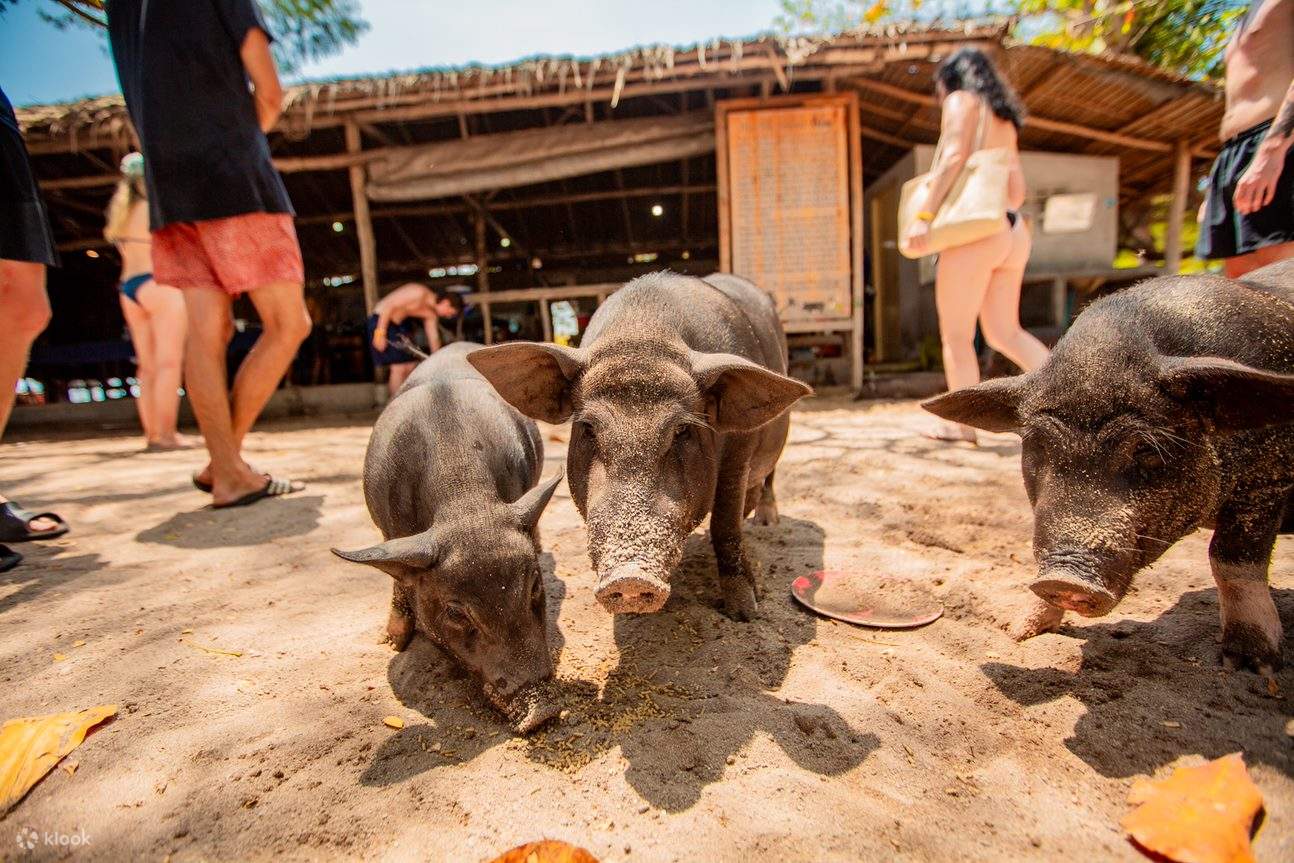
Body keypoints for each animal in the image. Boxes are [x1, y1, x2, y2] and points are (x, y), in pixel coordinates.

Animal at [332, 342, 564, 732]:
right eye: (456, 612)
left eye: (535, 585)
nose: (542, 713)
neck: (464, 501)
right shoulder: (390, 533)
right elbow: (399, 581)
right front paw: (393, 644)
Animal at [467, 272, 812, 619]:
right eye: (588, 428)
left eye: (682, 430)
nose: (630, 576)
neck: (644, 332)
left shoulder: (740, 448)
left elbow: (725, 523)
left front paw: (745, 612)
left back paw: (765, 522)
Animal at [923, 260, 1294, 673]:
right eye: (1038, 444)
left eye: (1145, 447)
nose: (1066, 580)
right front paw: (1018, 633)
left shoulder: (1268, 479)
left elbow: (1232, 558)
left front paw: (1251, 666)